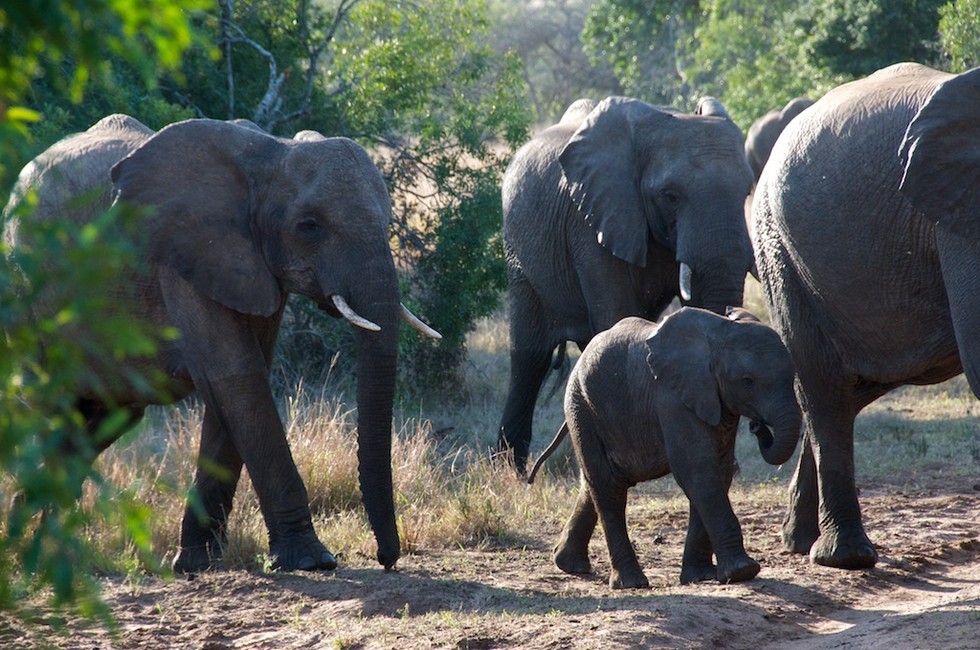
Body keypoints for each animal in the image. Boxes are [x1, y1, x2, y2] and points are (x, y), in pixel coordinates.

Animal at [3, 114, 440, 573]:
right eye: (309, 226)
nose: (387, 559)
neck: (271, 155)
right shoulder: (184, 258)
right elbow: (237, 379)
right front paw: (311, 560)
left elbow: (237, 387)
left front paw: (198, 564)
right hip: (25, 293)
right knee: (51, 410)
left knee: (99, 421)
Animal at [497, 96, 756, 475]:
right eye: (670, 196)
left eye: (747, 191)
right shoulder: (591, 222)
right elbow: (617, 315)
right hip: (519, 256)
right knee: (530, 358)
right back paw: (509, 470)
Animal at [526, 307, 802, 589]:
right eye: (748, 381)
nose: (758, 426)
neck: (721, 331)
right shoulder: (672, 397)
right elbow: (697, 469)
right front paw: (742, 572)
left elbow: (719, 470)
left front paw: (702, 576)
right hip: (581, 406)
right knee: (608, 487)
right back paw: (631, 583)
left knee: (593, 483)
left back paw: (569, 564)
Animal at [752, 62, 979, 570]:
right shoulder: (960, 221)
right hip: (778, 249)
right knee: (824, 388)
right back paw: (843, 557)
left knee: (844, 388)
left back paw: (798, 540)